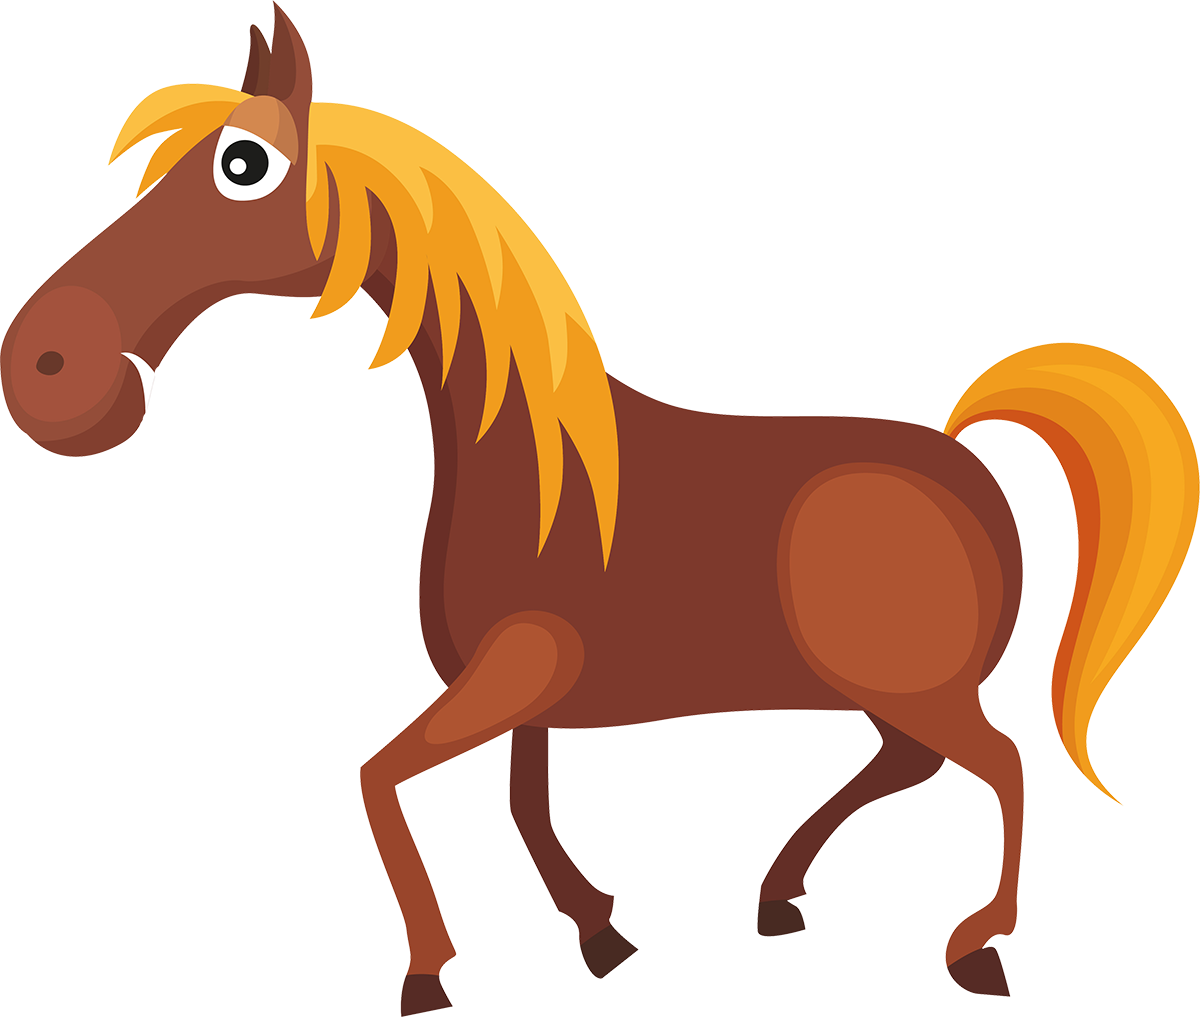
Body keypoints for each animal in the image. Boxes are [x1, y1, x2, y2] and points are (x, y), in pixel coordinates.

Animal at [2, 6, 1195, 1011]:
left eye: (243, 164)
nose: (46, 367)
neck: (535, 468)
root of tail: (966, 459)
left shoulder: (520, 669)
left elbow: (381, 773)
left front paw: (429, 973)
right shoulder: (527, 690)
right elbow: (525, 804)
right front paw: (597, 933)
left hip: (910, 684)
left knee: (1003, 766)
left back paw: (977, 947)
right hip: (883, 687)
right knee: (917, 765)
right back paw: (779, 896)